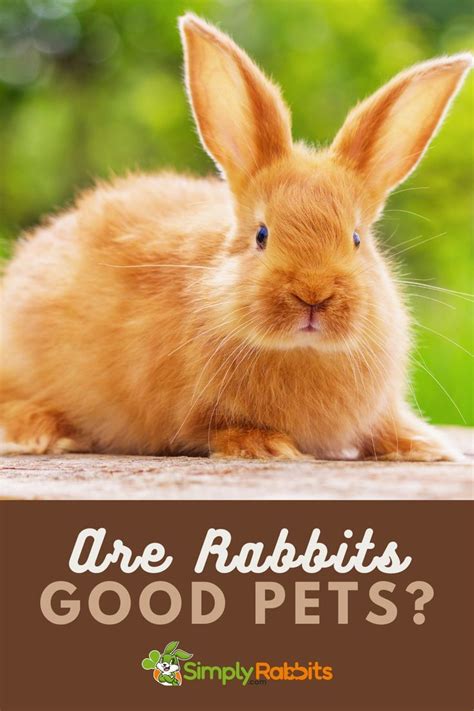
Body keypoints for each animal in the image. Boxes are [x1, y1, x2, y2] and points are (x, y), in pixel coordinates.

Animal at [0, 13, 471, 461]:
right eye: (261, 235)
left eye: (357, 239)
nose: (313, 294)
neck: (300, 350)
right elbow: (218, 428)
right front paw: (268, 447)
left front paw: (425, 447)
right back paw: (40, 432)